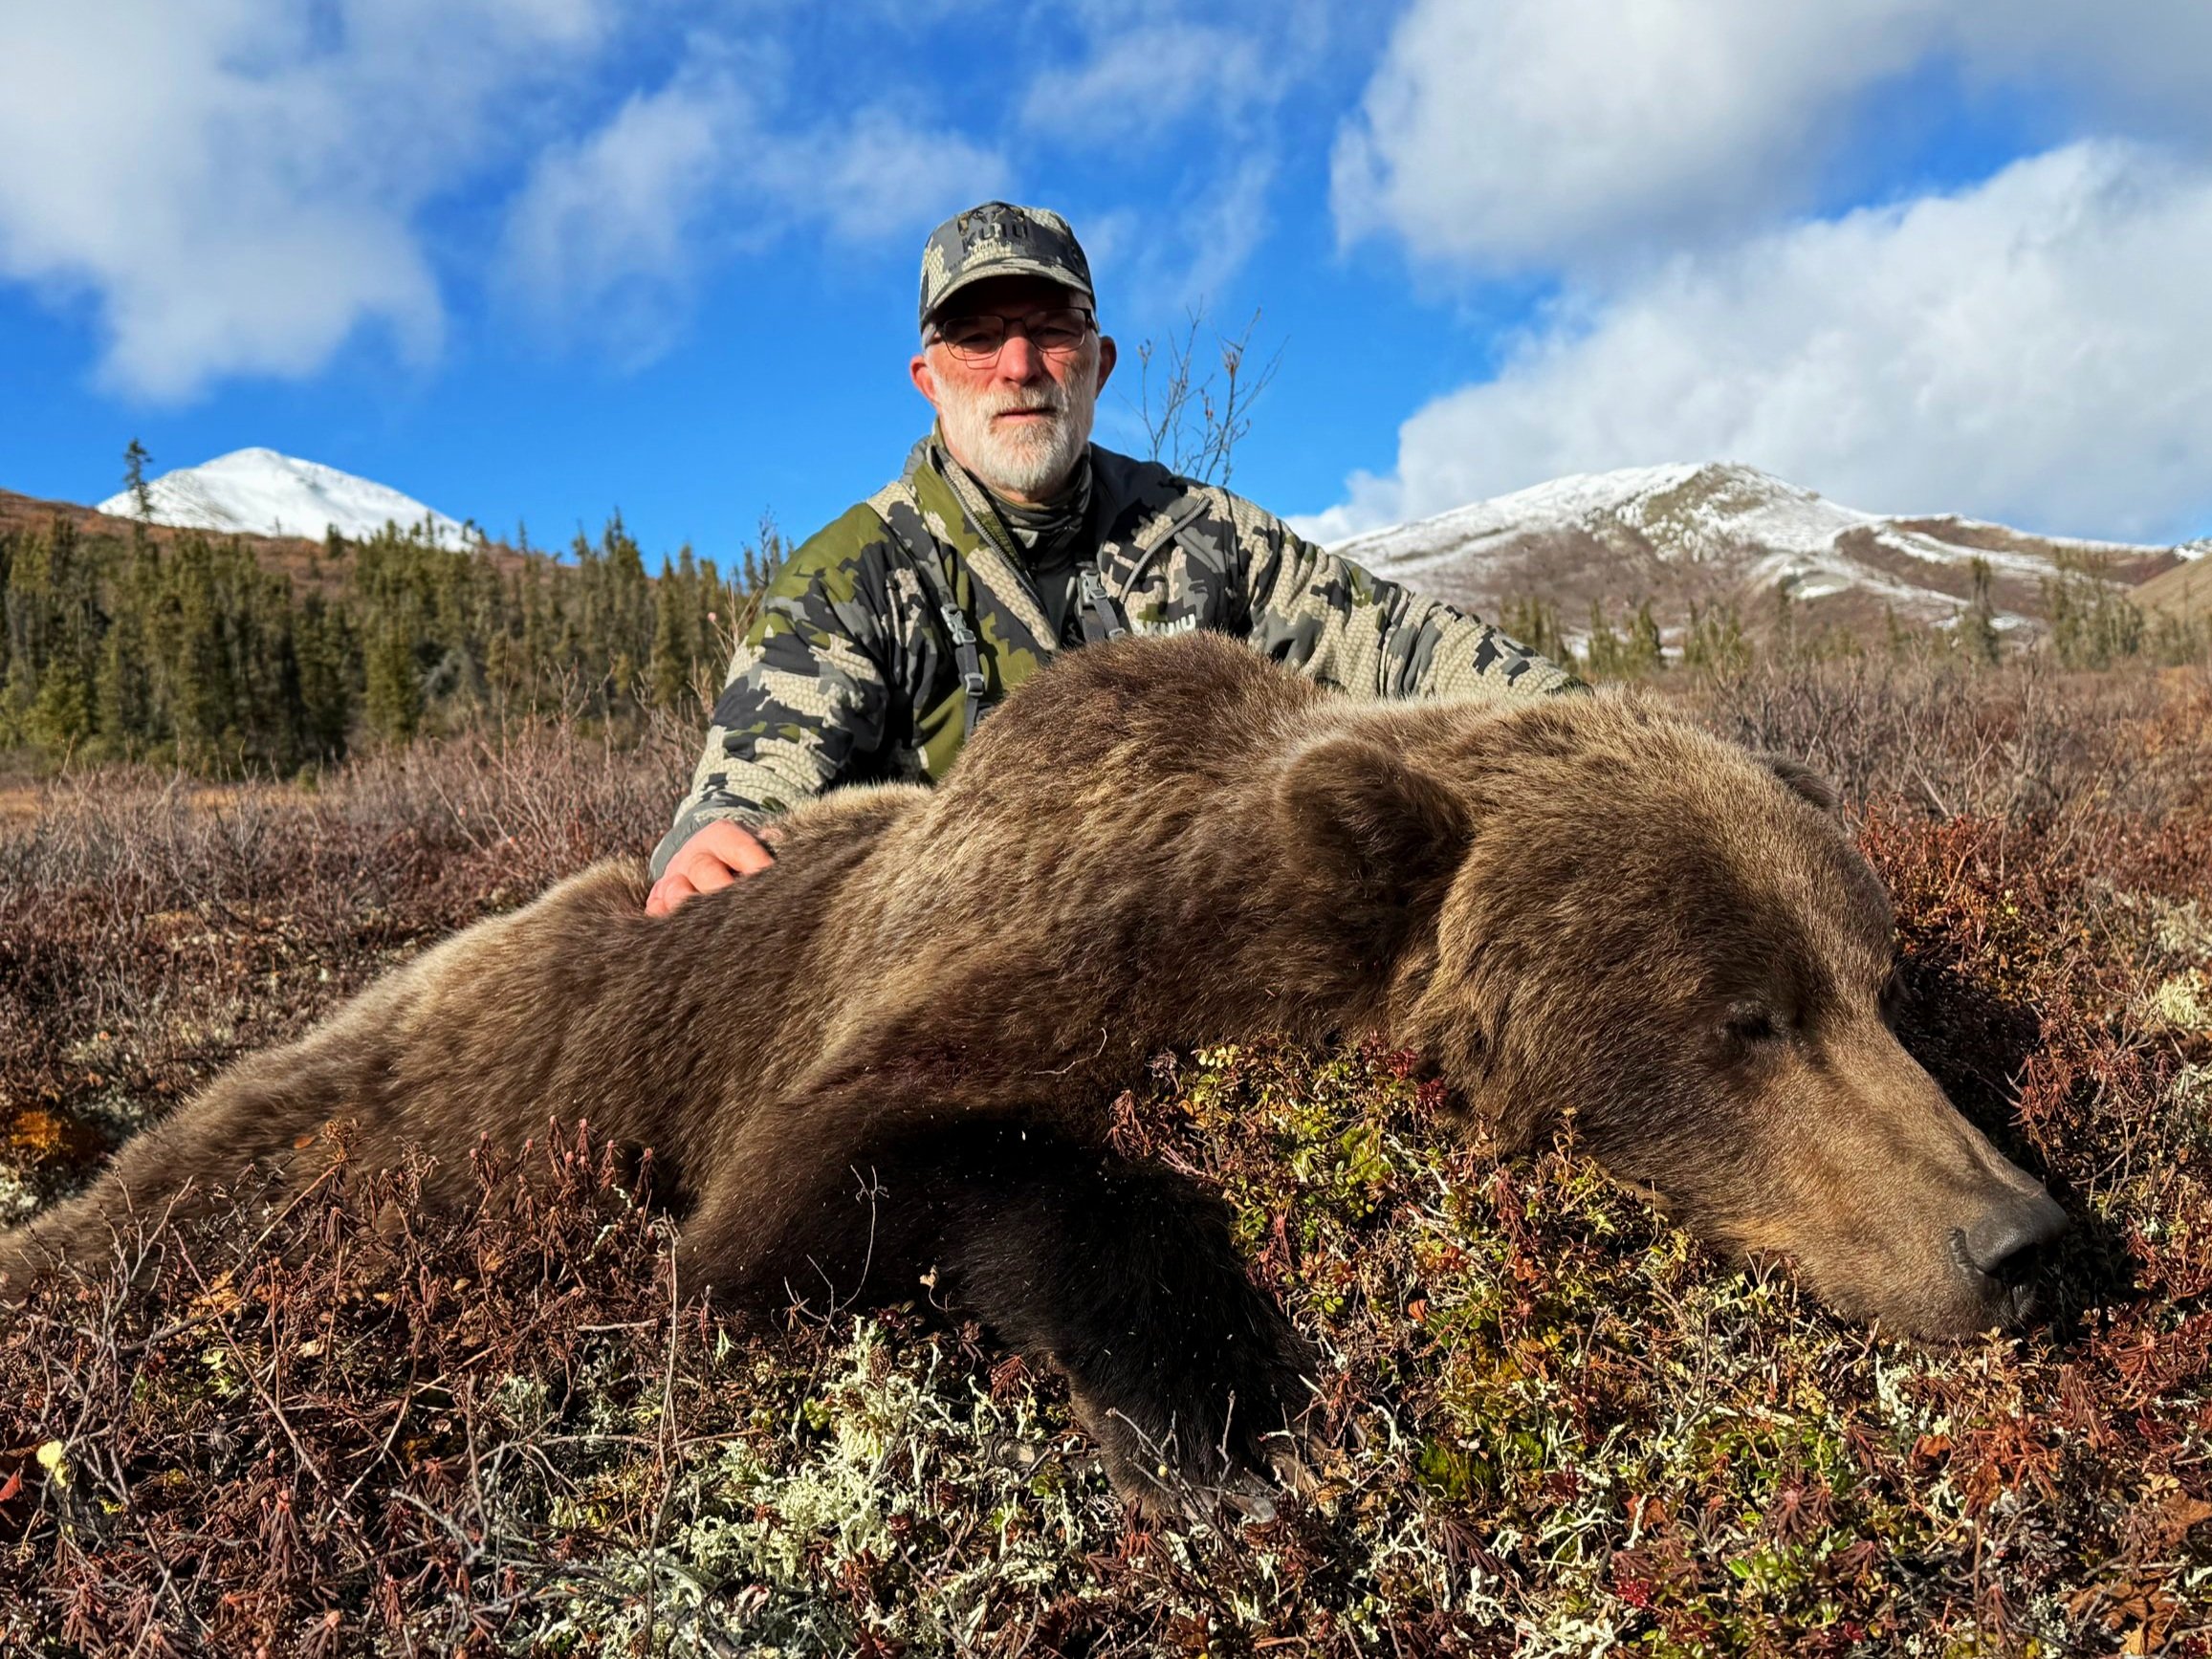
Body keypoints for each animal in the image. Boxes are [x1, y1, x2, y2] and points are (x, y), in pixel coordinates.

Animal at [0, 629, 2066, 1515]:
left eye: (1879, 985)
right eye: (1741, 1017)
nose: (2019, 1242)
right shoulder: (956, 995)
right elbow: (830, 1197)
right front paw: (1225, 1422)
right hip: (363, 1119)